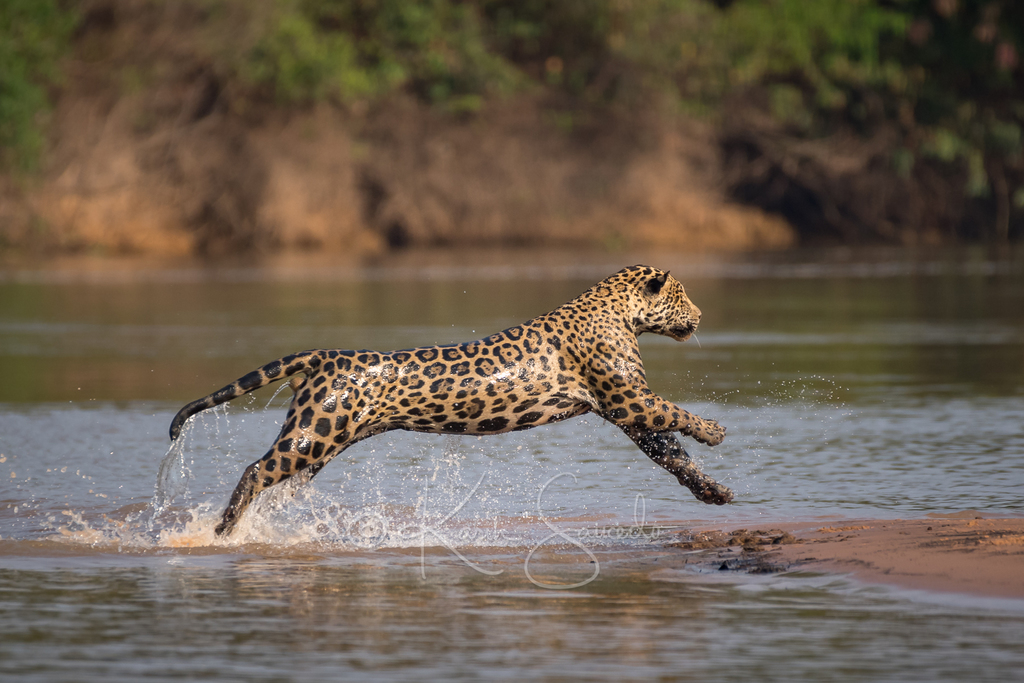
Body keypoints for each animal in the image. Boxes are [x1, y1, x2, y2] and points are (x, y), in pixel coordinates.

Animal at [169, 265, 733, 537]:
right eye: (681, 295)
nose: (702, 315)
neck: (619, 312)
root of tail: (325, 355)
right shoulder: (628, 400)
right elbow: (675, 413)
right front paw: (715, 430)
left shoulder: (629, 414)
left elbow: (674, 456)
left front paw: (715, 493)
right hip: (314, 433)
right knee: (254, 471)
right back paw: (224, 529)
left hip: (321, 444)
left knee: (278, 485)